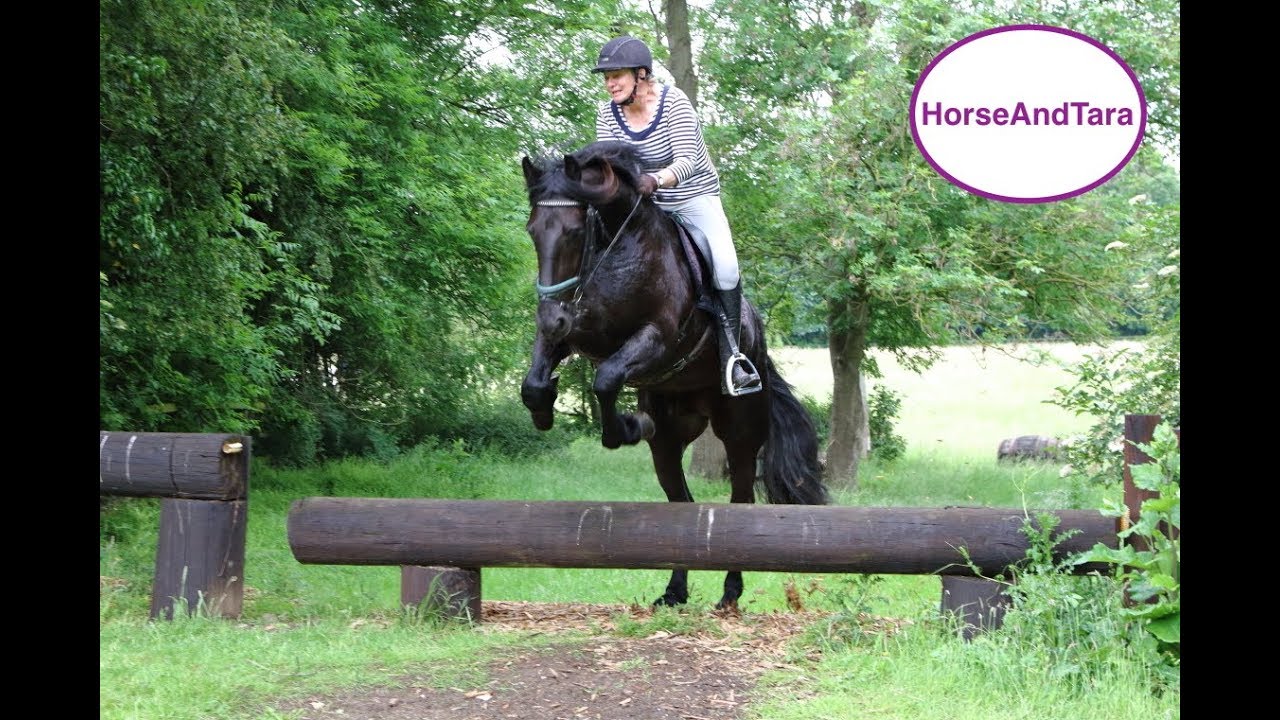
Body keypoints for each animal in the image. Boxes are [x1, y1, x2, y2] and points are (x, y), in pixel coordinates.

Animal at [519, 140, 830, 610]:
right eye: (532, 231)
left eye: (574, 231)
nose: (550, 319)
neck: (615, 246)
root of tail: (756, 339)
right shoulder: (573, 330)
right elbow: (534, 384)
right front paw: (544, 412)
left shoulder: (659, 336)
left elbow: (606, 378)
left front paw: (626, 427)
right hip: (670, 438)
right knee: (680, 502)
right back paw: (675, 590)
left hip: (739, 431)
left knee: (739, 497)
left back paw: (730, 592)